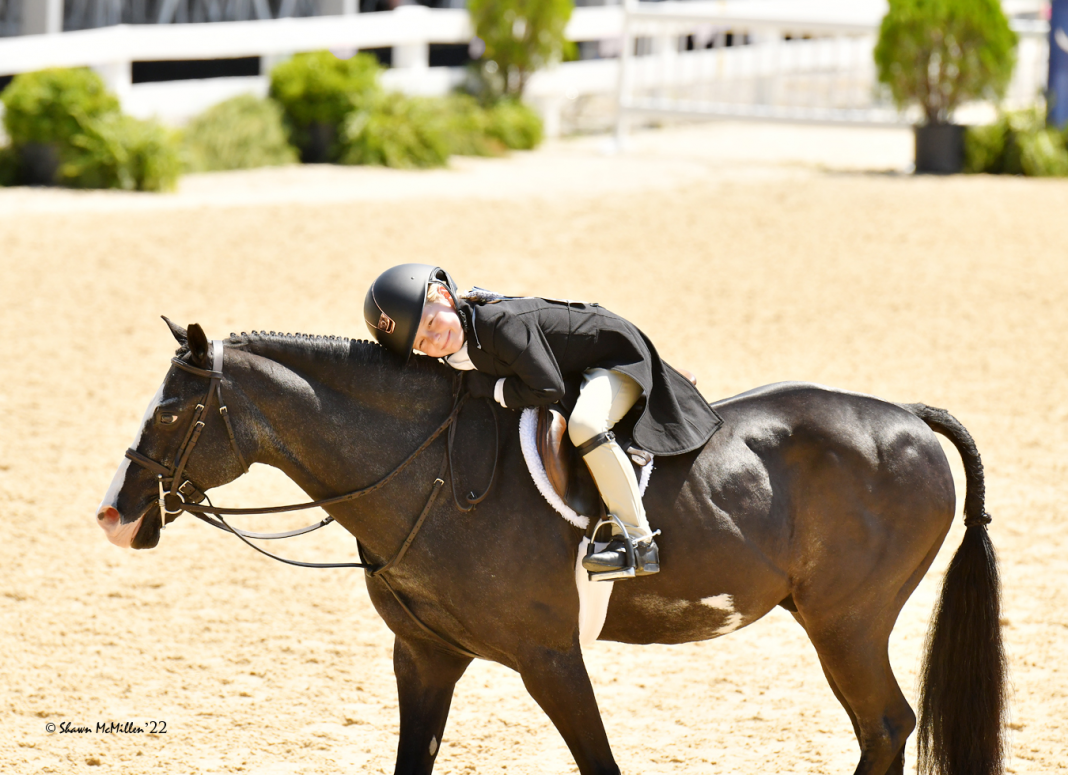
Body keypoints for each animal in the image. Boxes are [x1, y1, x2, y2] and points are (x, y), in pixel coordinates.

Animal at [97, 319, 1007, 775]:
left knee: (885, 725)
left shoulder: (551, 658)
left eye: (173, 412)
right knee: (883, 730)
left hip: (846, 623)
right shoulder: (424, 655)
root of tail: (905, 416)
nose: (115, 514)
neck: (430, 473)